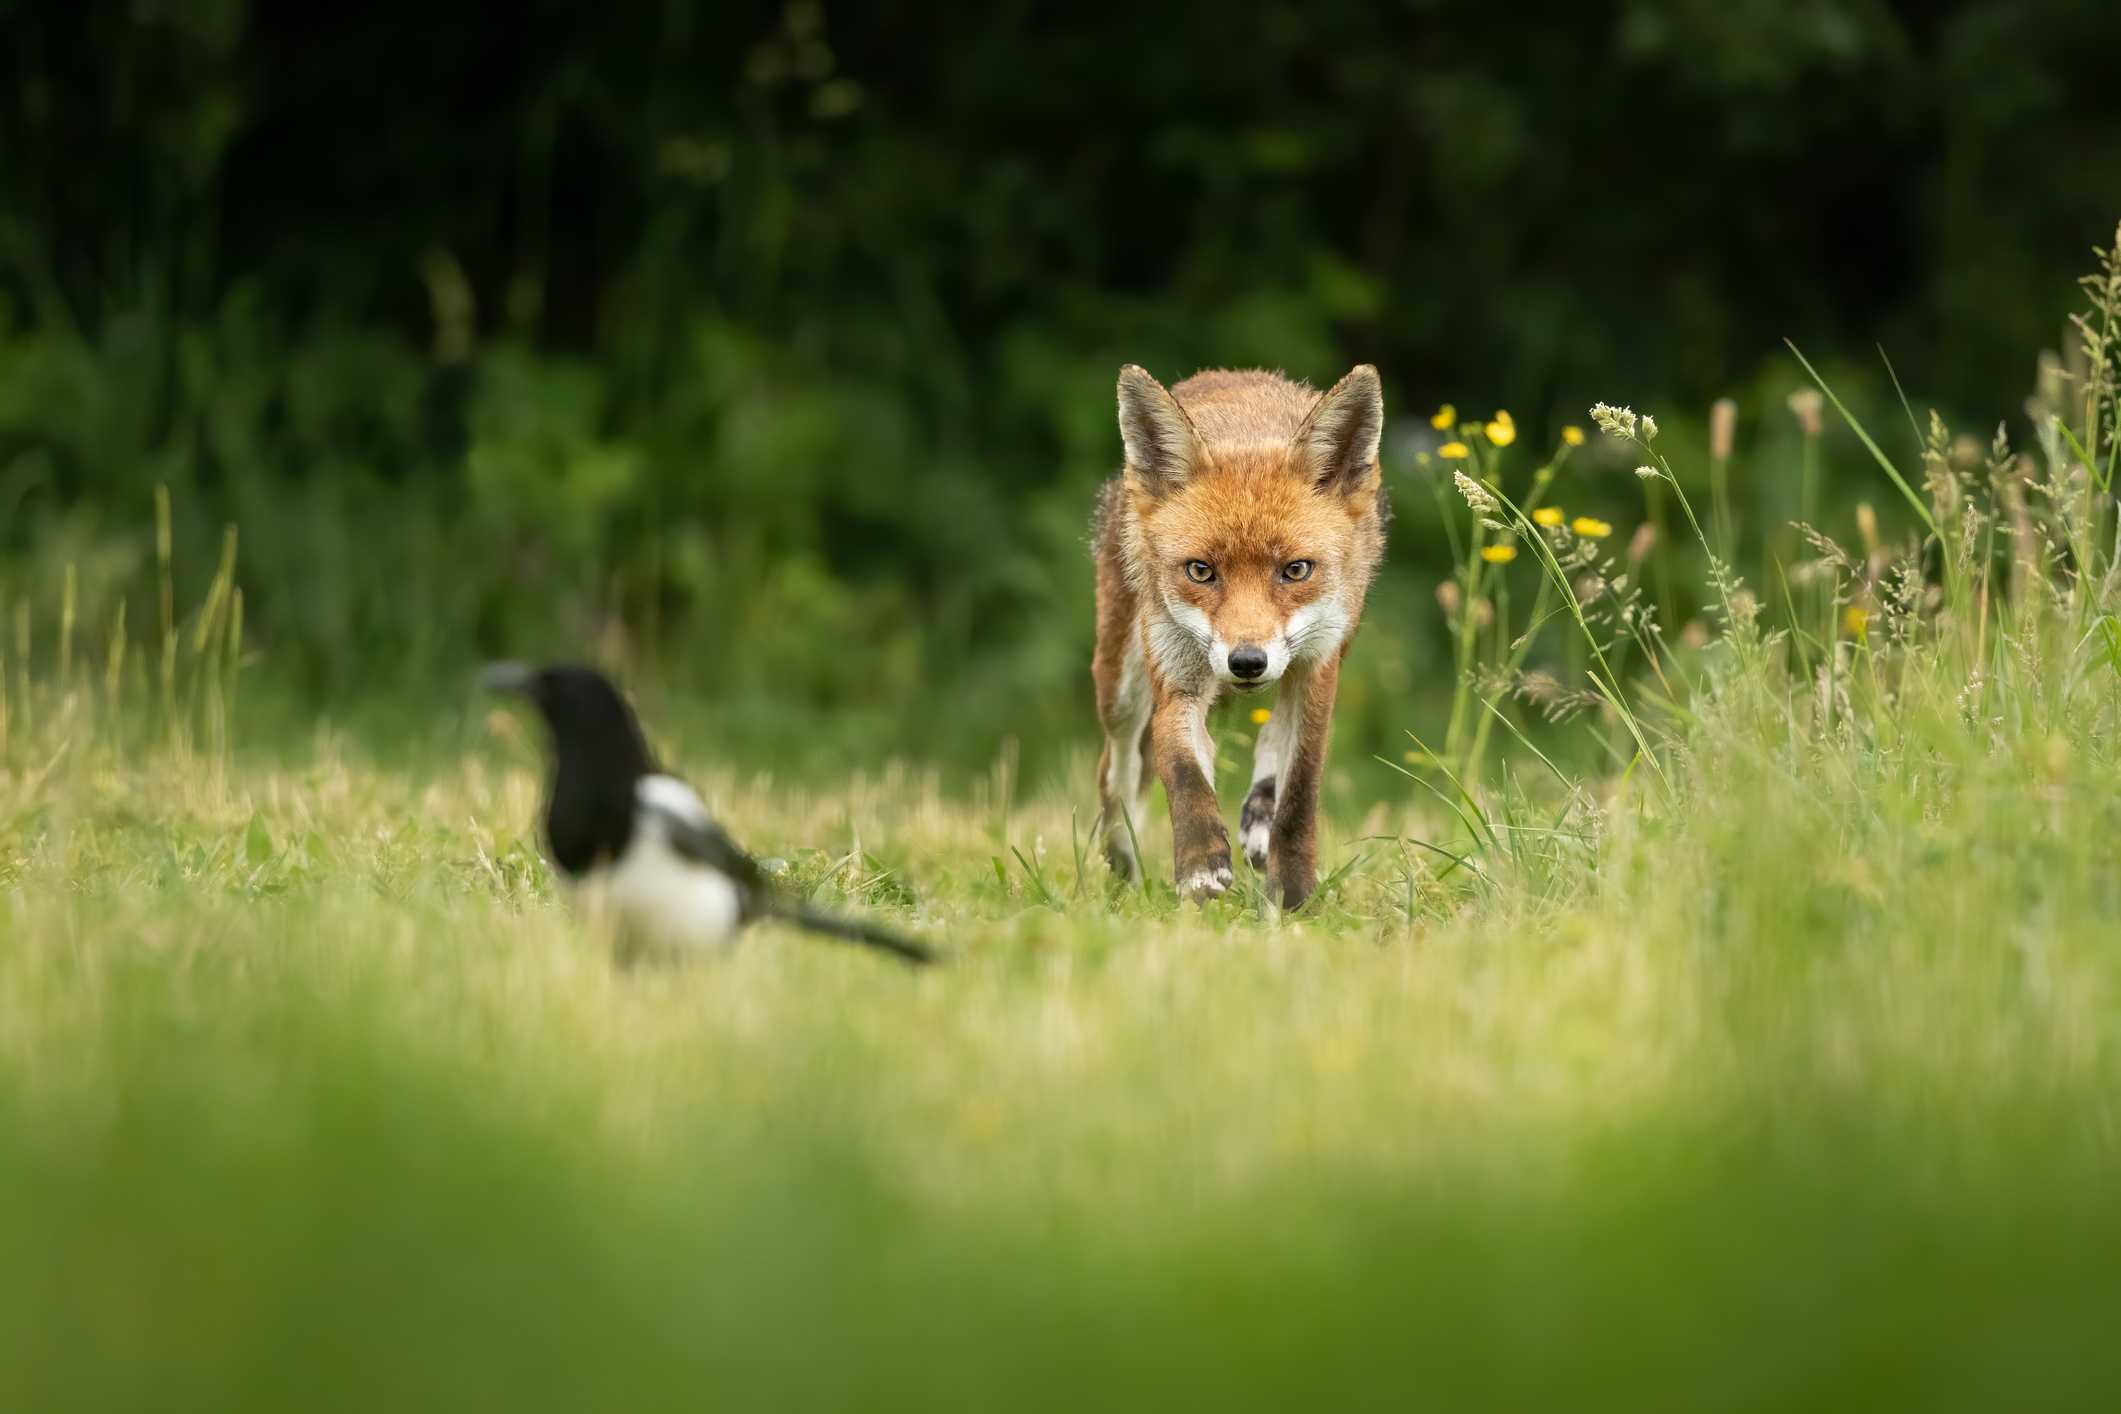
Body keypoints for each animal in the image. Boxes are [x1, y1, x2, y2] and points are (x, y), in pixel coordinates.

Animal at [1091, 364, 1387, 908]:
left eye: (1296, 569)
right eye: (1200, 570)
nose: (1246, 662)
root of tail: (1229, 373)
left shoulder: (1318, 667)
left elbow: (1301, 787)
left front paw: (1293, 890)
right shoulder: (1178, 677)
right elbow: (1182, 770)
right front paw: (1200, 867)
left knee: (1272, 735)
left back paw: (1259, 819)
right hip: (1119, 687)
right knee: (1117, 766)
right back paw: (1121, 856)